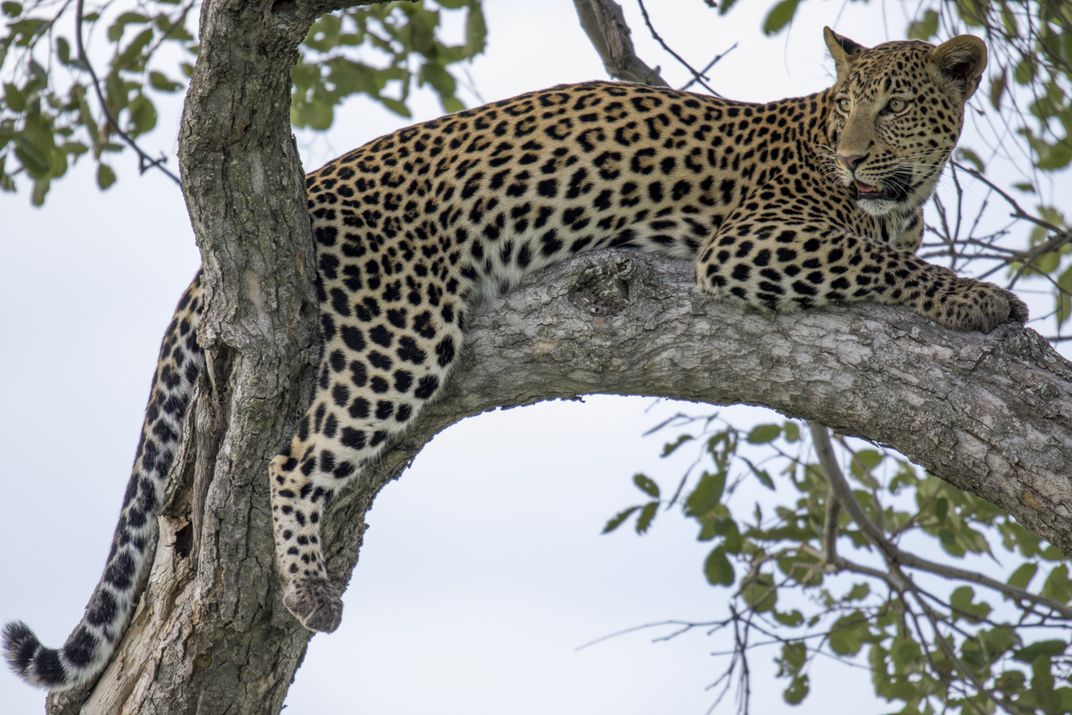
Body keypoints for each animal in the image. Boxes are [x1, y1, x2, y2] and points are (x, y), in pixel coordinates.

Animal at [3, 27, 1027, 690]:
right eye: (848, 107)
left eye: (891, 107)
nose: (852, 160)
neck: (901, 189)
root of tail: (316, 180)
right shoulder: (751, 242)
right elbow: (885, 260)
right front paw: (985, 299)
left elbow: (892, 251)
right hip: (401, 331)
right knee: (291, 458)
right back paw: (309, 590)